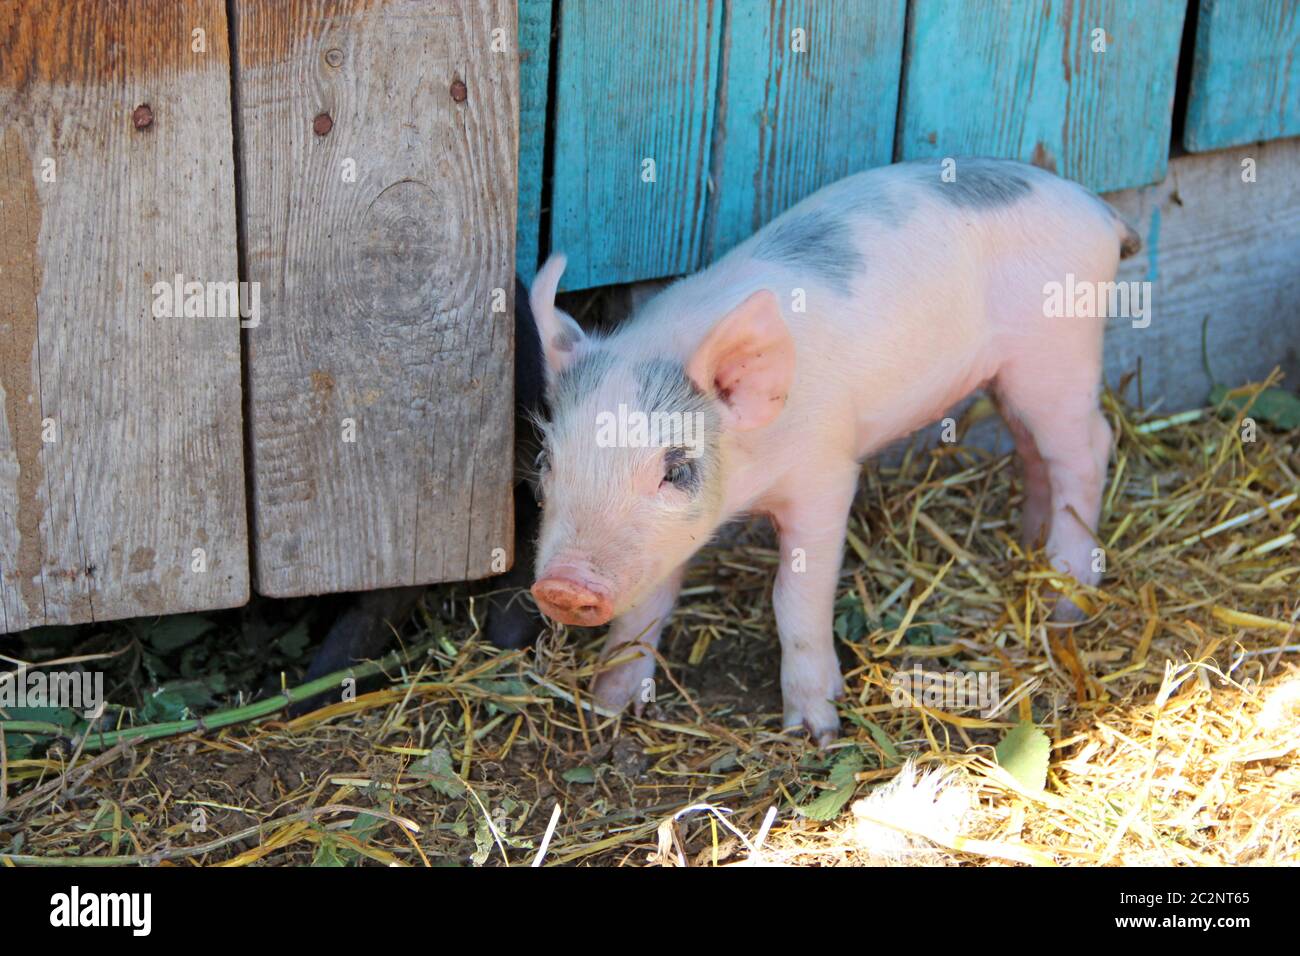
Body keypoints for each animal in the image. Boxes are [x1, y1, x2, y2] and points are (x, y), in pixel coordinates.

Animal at [525, 158, 1140, 744]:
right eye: (546, 461)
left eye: (675, 471)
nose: (562, 586)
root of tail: (1096, 209)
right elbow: (647, 604)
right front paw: (607, 706)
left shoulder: (825, 474)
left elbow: (794, 595)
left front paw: (817, 731)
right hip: (1013, 375)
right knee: (1034, 451)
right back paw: (1029, 540)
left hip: (1059, 350)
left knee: (1088, 447)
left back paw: (1065, 597)